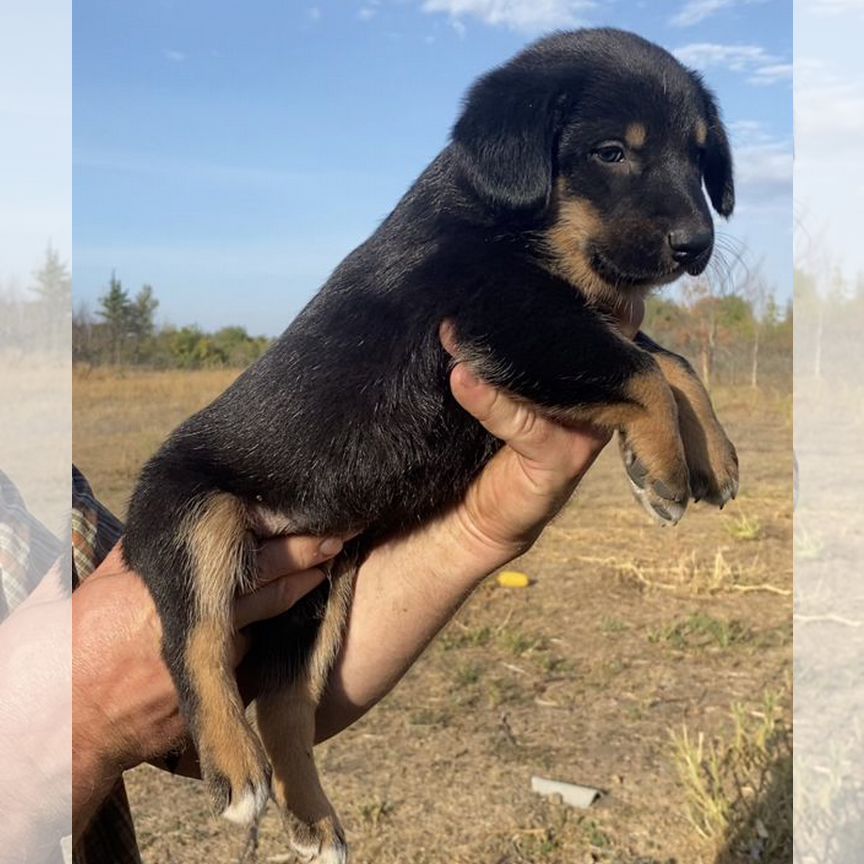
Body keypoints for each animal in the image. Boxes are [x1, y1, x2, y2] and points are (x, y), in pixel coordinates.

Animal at [125, 27, 740, 864]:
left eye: (700, 156)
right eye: (612, 152)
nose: (696, 244)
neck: (509, 222)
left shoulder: (562, 317)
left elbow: (668, 358)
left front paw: (712, 452)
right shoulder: (498, 319)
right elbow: (642, 369)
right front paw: (667, 467)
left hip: (314, 600)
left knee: (286, 704)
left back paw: (313, 819)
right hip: (196, 517)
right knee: (196, 643)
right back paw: (235, 770)